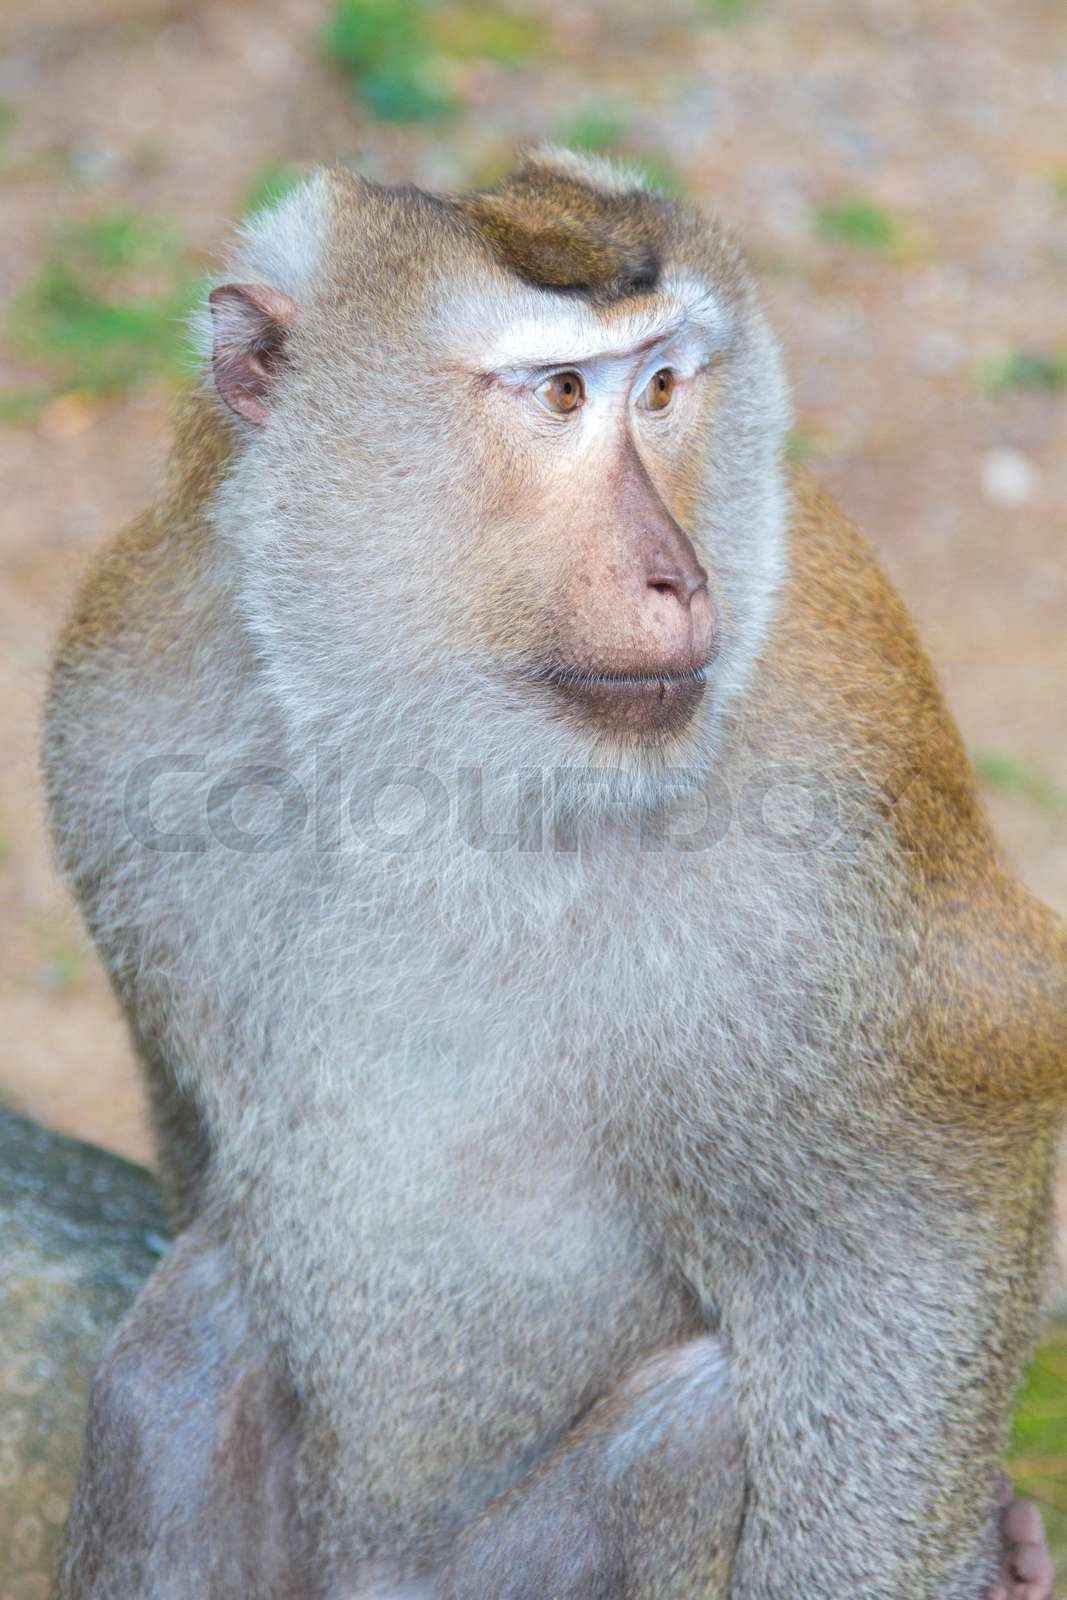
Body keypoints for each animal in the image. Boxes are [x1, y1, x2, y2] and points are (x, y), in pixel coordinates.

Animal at [42, 149, 1066, 1598]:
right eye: (563, 396)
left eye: (661, 387)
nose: (675, 578)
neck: (426, 759)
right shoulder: (119, 700)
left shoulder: (831, 814)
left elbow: (903, 1225)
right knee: (184, 1337)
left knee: (698, 1424)